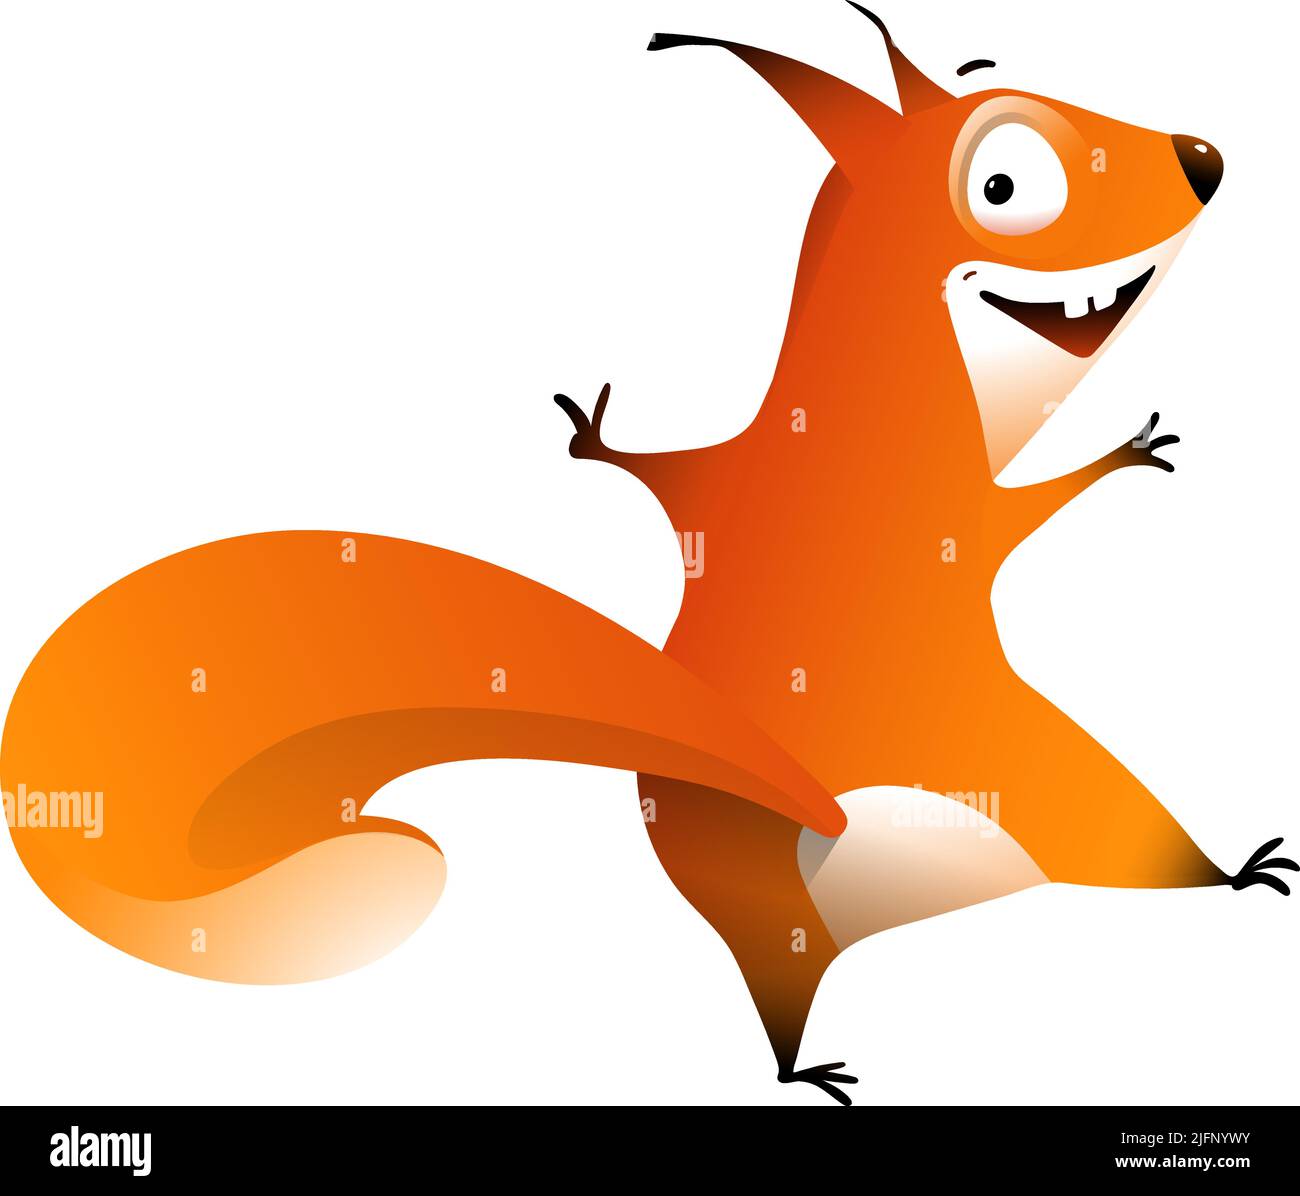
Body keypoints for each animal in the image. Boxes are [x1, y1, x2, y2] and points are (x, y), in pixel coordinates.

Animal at [1, 4, 1293, 1106]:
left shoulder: (769, 485)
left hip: (1051, 795)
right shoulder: (957, 507)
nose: (1203, 157)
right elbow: (1036, 503)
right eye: (1005, 181)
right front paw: (1124, 447)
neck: (871, 387)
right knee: (787, 981)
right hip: (841, 856)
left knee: (1138, 854)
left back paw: (1232, 867)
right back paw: (802, 1062)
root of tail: (809, 804)